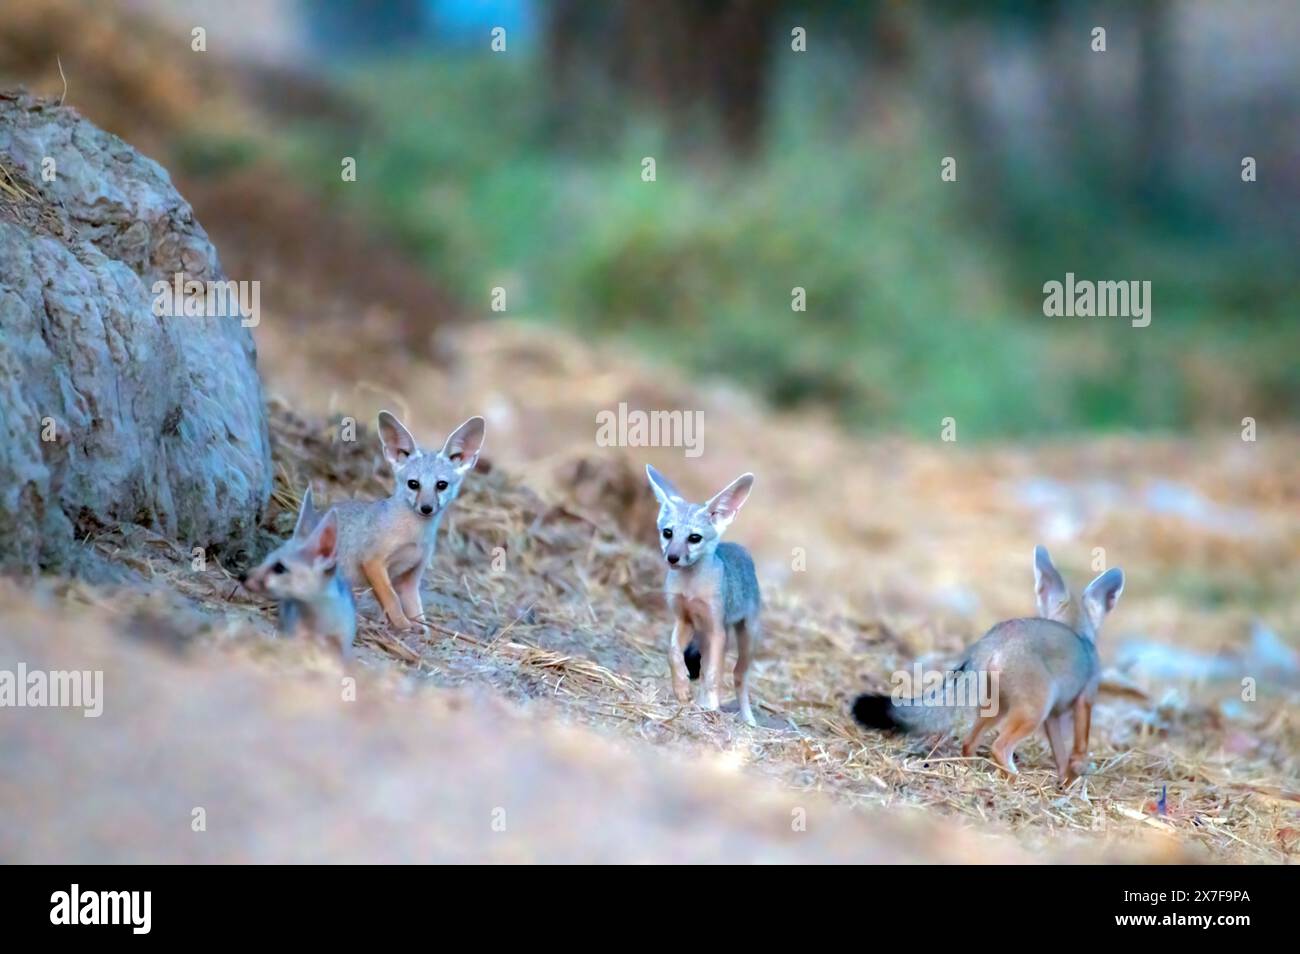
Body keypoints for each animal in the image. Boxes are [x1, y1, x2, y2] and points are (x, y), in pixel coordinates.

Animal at [240, 486, 357, 657]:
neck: (320, 623)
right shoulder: (295, 636)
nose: (242, 576)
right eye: (266, 558)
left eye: (279, 568)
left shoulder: (342, 645)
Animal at [327, 411, 486, 632]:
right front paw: (403, 625)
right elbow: (392, 599)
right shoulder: (372, 561)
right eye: (413, 484)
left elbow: (417, 611)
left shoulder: (411, 578)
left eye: (441, 485)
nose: (426, 508)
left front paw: (420, 630)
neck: (414, 536)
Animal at [646, 465, 762, 726]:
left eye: (694, 538)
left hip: (744, 637)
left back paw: (748, 719)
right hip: (704, 636)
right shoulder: (684, 620)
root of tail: (738, 547)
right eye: (668, 533)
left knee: (738, 676)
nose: (673, 558)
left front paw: (711, 707)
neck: (691, 589)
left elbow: (712, 675)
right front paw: (681, 689)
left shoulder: (717, 629)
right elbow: (673, 653)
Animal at [851, 545, 1124, 783]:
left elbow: (1060, 754)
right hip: (1032, 711)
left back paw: (972, 769)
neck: (1076, 631)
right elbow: (1079, 745)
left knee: (968, 742)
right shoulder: (1084, 700)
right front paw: (1074, 774)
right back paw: (1014, 779)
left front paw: (1064, 781)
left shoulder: (1052, 718)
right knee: (998, 746)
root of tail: (995, 636)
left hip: (998, 708)